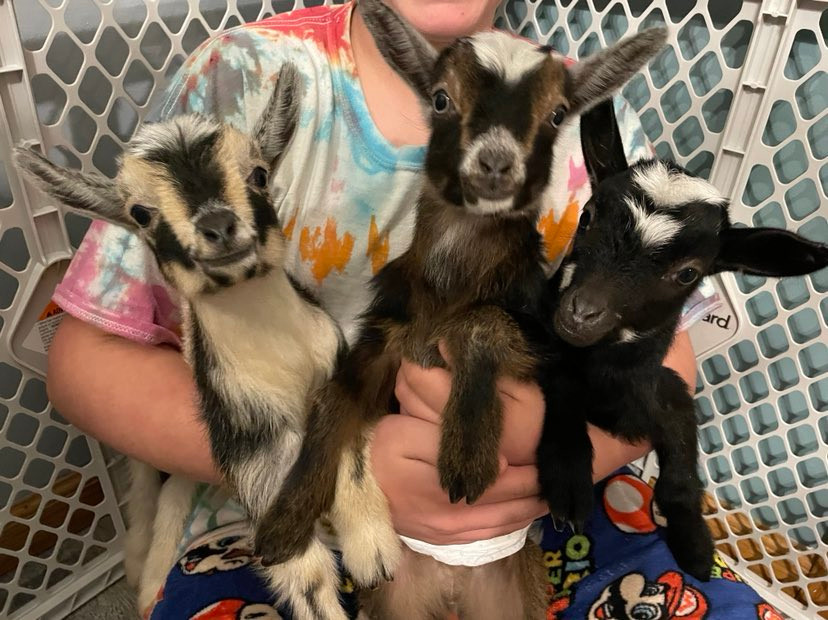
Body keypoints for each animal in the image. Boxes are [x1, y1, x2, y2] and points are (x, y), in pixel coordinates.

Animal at [15, 65, 353, 620]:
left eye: (259, 175)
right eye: (140, 213)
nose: (217, 226)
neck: (284, 358)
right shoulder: (245, 429)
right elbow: (303, 570)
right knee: (152, 488)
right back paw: (143, 574)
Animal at [534, 98, 828, 581]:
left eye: (688, 273)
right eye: (588, 216)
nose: (581, 313)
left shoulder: (670, 392)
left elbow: (681, 468)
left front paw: (695, 550)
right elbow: (559, 388)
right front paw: (568, 479)